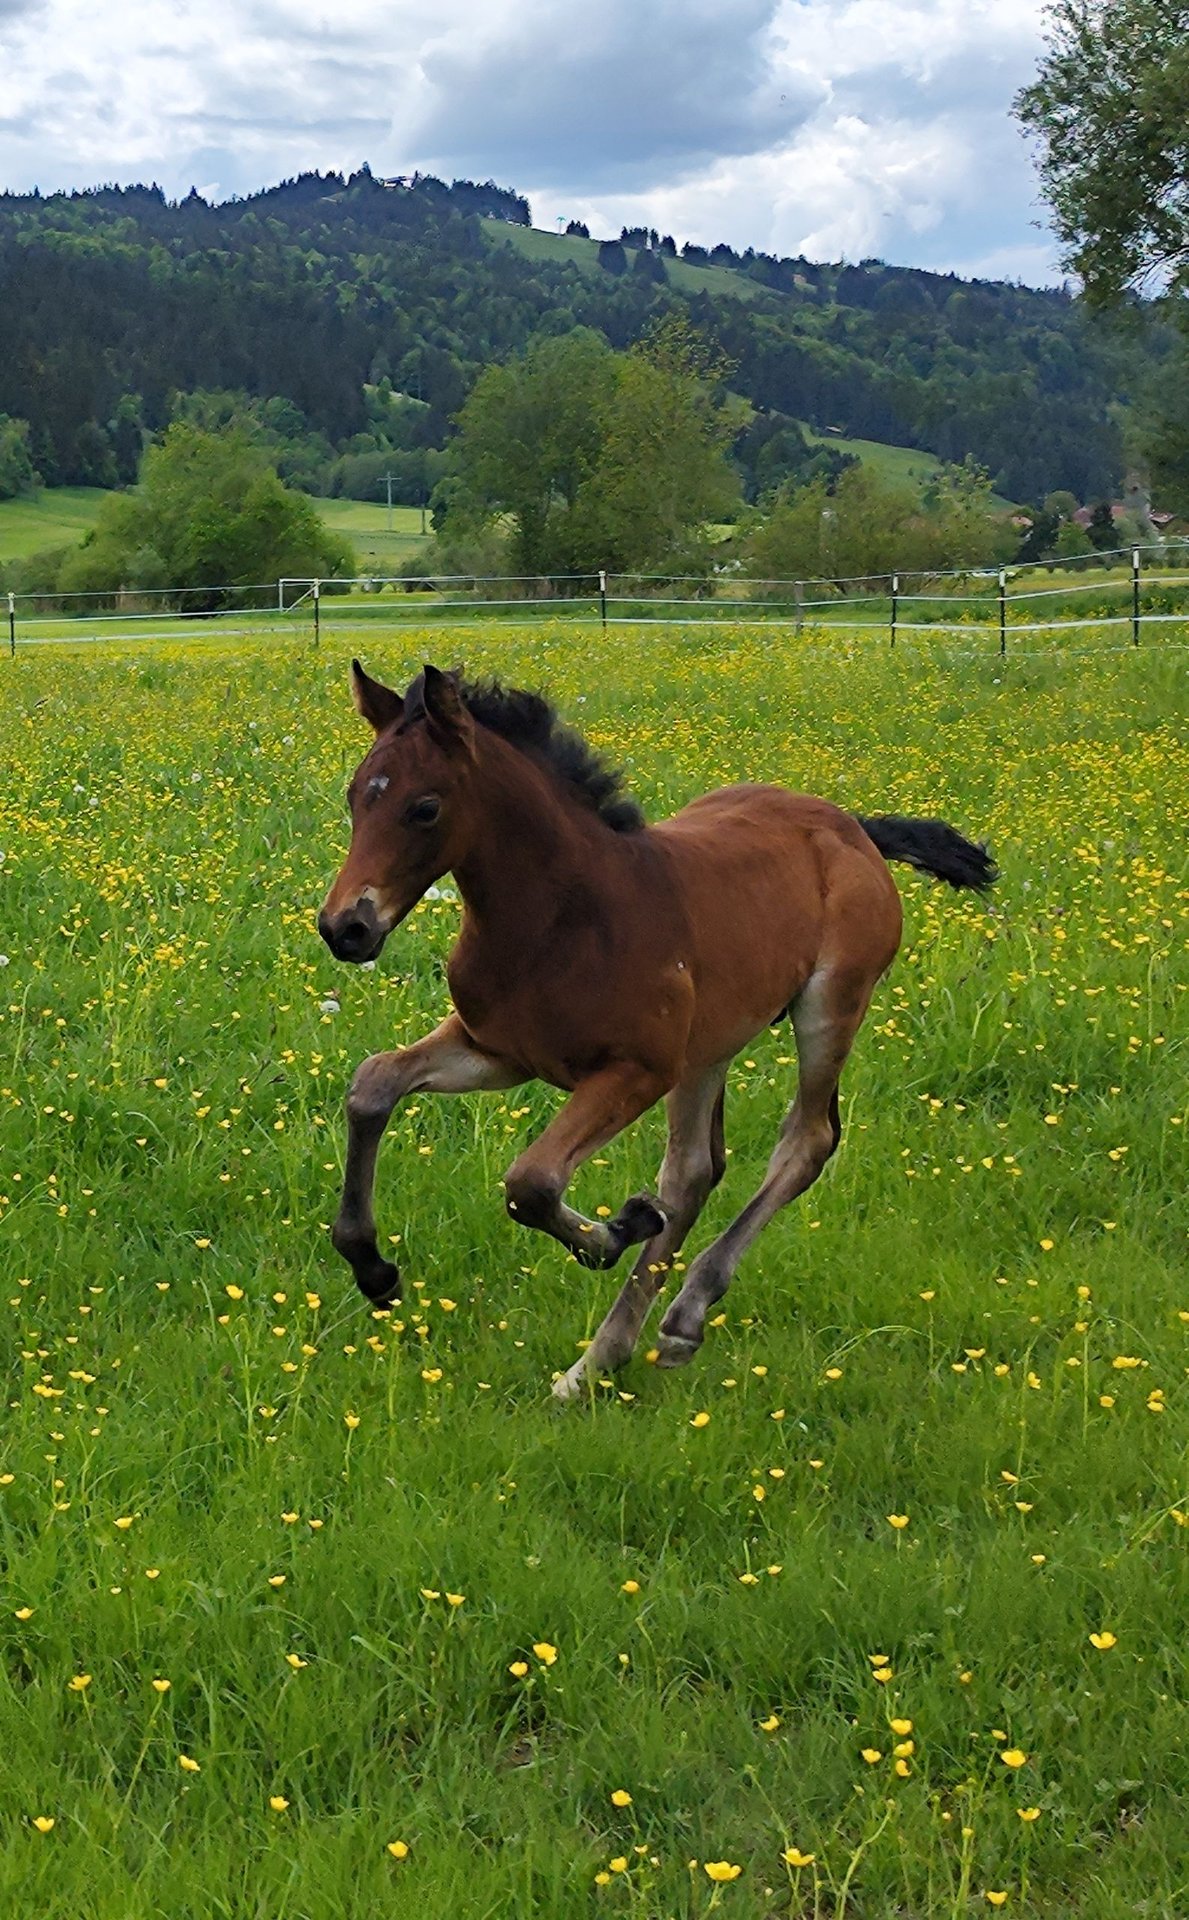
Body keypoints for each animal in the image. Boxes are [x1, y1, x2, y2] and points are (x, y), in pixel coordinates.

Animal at [319, 661, 995, 1401]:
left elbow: (532, 1181)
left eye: (425, 808)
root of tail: (851, 827)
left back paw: (674, 1317)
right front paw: (373, 1269)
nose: (345, 927)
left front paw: (618, 1228)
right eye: (355, 796)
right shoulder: (496, 1050)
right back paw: (605, 1358)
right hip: (707, 1048)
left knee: (802, 1142)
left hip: (828, 1005)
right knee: (695, 1171)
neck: (558, 918)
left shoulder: (635, 1070)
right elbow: (373, 1084)